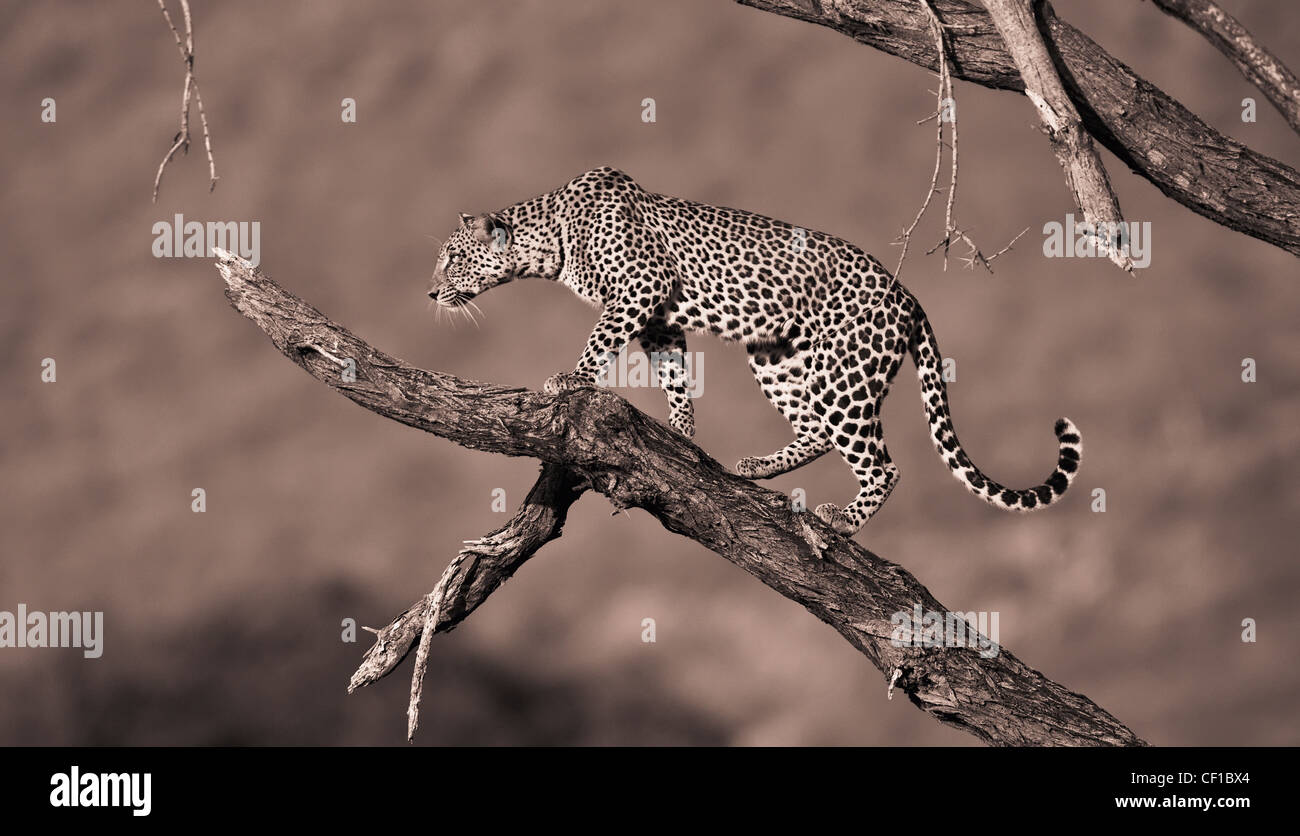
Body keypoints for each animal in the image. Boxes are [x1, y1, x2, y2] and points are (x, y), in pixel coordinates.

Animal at [428, 166, 1081, 535]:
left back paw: (843, 521)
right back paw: (757, 467)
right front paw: (682, 436)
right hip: (780, 360)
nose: (431, 292)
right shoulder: (658, 317)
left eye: (452, 257)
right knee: (818, 431)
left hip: (843, 375)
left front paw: (572, 379)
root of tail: (911, 296)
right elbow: (674, 376)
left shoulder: (640, 287)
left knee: (882, 464)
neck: (547, 244)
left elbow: (598, 341)